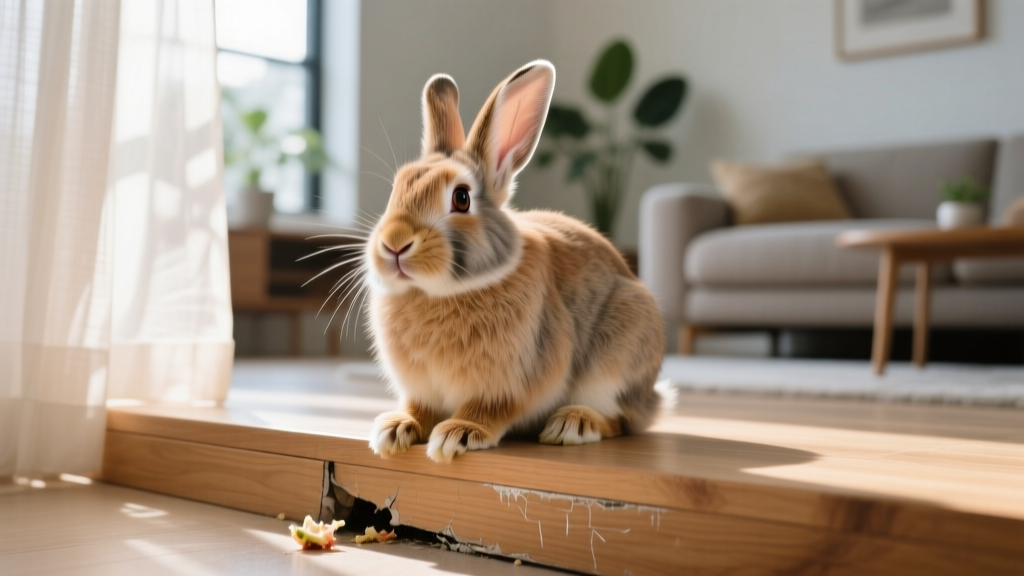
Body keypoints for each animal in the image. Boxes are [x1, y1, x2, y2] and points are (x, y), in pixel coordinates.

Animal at [365, 59, 664, 463]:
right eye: (396, 189)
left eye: (461, 198)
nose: (394, 243)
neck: (438, 292)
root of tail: (653, 399)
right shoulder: (422, 389)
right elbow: (419, 409)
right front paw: (393, 429)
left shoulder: (514, 381)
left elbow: (490, 409)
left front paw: (457, 434)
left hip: (618, 357)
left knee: (620, 420)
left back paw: (572, 424)